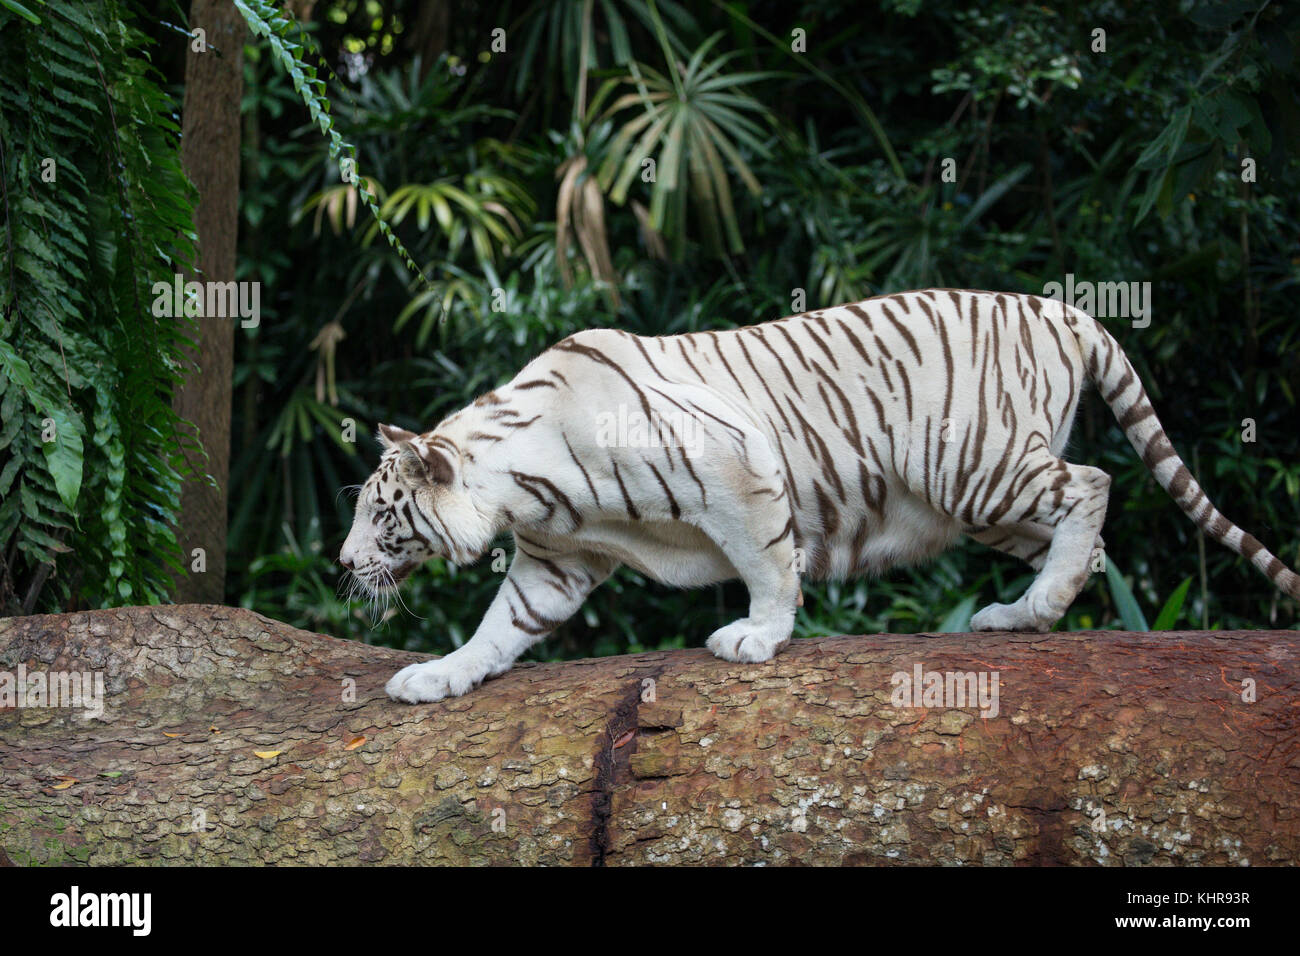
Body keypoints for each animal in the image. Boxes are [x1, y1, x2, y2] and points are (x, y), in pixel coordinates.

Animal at [338, 288, 1300, 703]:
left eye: (381, 513)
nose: (344, 562)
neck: (526, 489)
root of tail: (1064, 309)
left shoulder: (736, 471)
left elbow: (769, 566)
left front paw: (756, 638)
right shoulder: (555, 560)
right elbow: (500, 628)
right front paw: (439, 676)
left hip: (975, 466)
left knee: (1093, 485)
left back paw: (1037, 605)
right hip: (986, 503)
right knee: (1082, 534)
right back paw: (1022, 615)